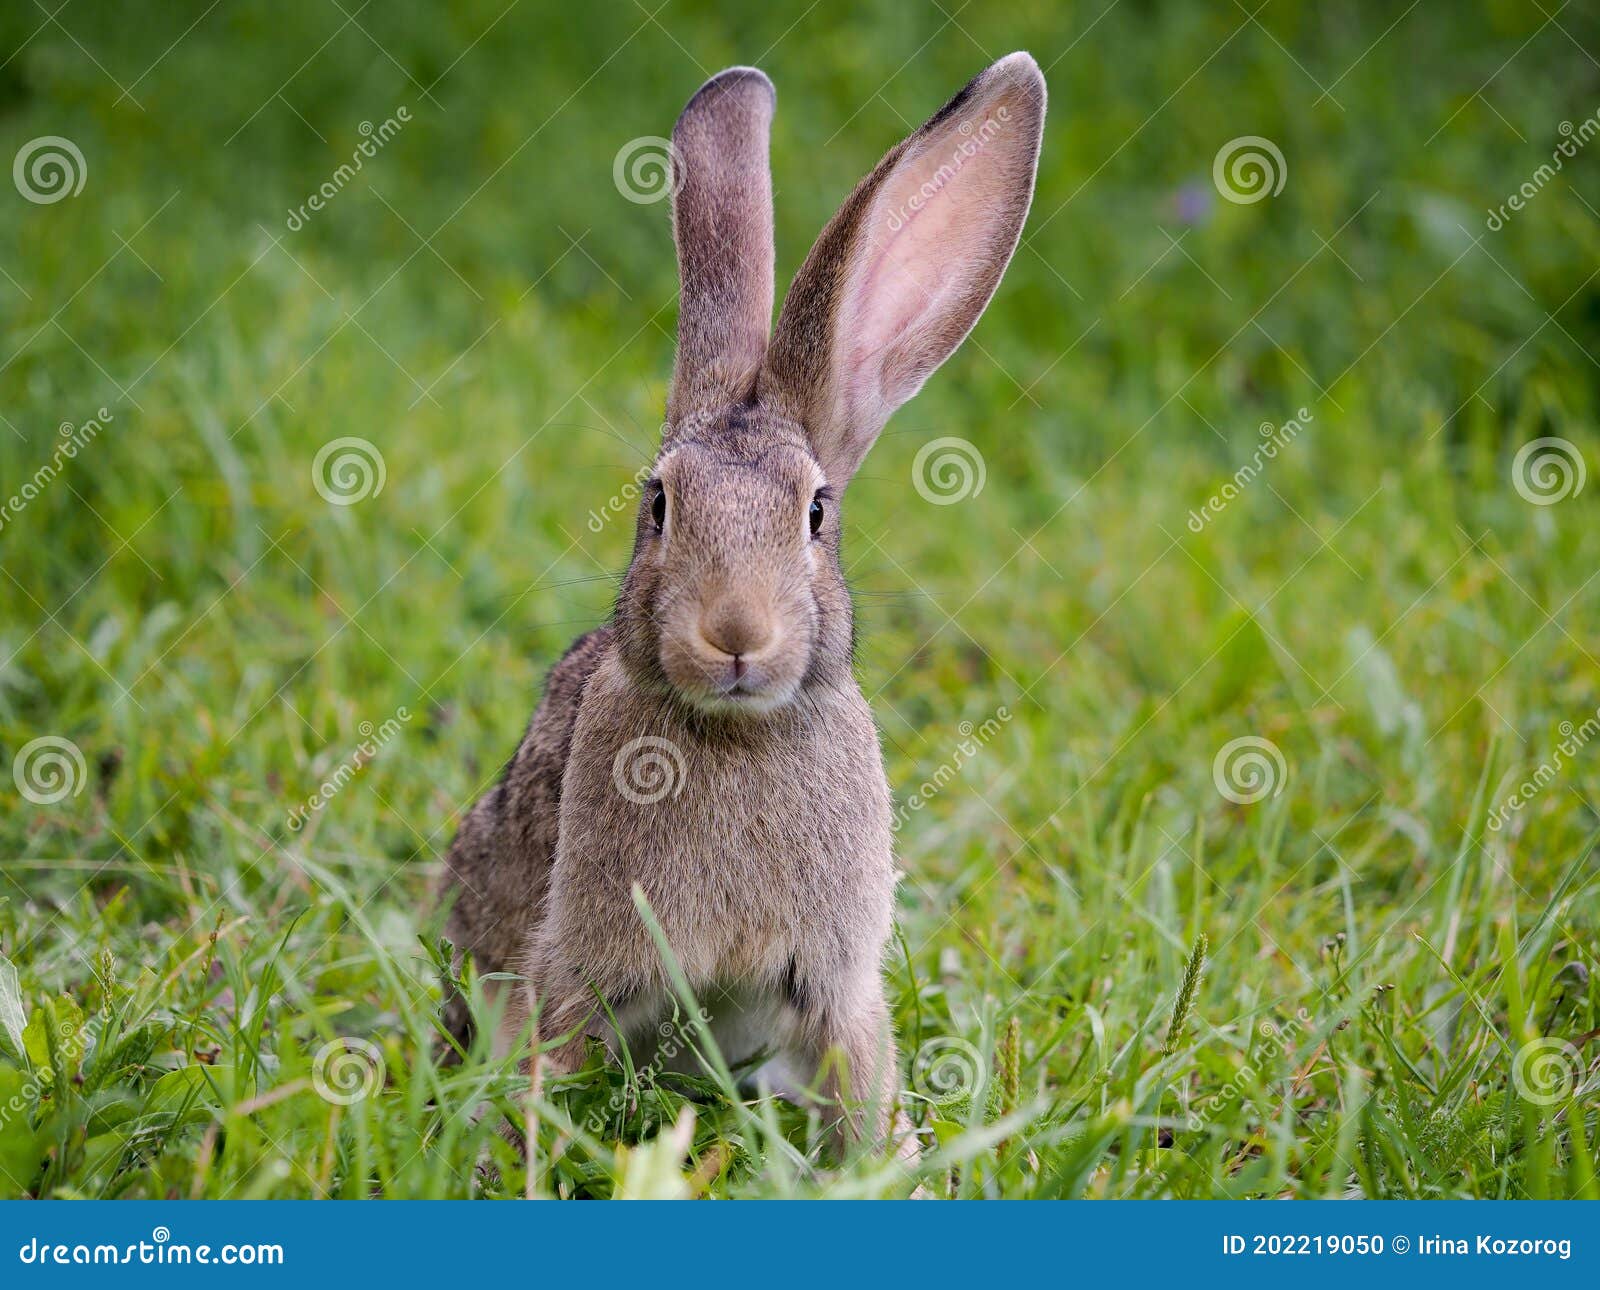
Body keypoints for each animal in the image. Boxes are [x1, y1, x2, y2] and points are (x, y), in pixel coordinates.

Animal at [439, 51, 1045, 1149]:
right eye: (657, 505)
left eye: (815, 513)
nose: (734, 633)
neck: (734, 732)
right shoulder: (576, 969)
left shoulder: (835, 984)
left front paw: (890, 1160)